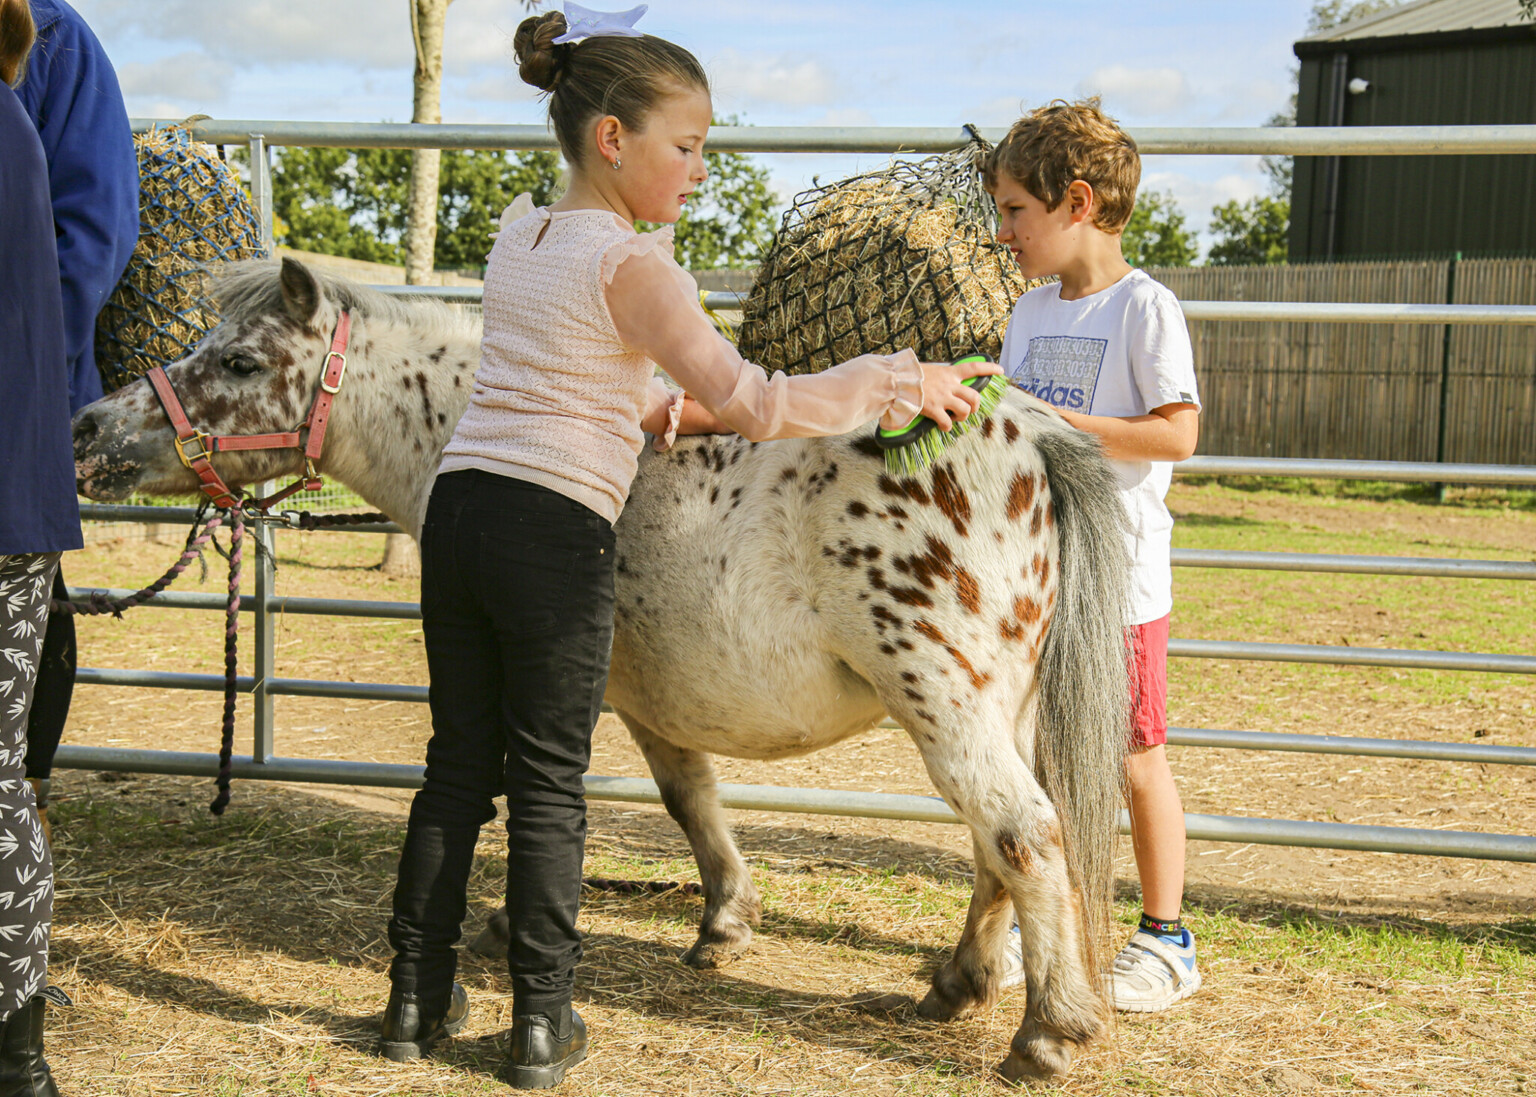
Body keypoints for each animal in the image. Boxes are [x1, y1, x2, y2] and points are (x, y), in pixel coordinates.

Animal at [73, 257, 1132, 1083]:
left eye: (240, 361)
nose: (90, 428)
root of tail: (1030, 432)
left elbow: (540, 798)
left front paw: (517, 926)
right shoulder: (645, 700)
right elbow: (689, 797)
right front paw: (723, 922)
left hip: (944, 704)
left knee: (1024, 833)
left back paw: (1045, 1033)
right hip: (993, 710)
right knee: (995, 844)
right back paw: (957, 984)